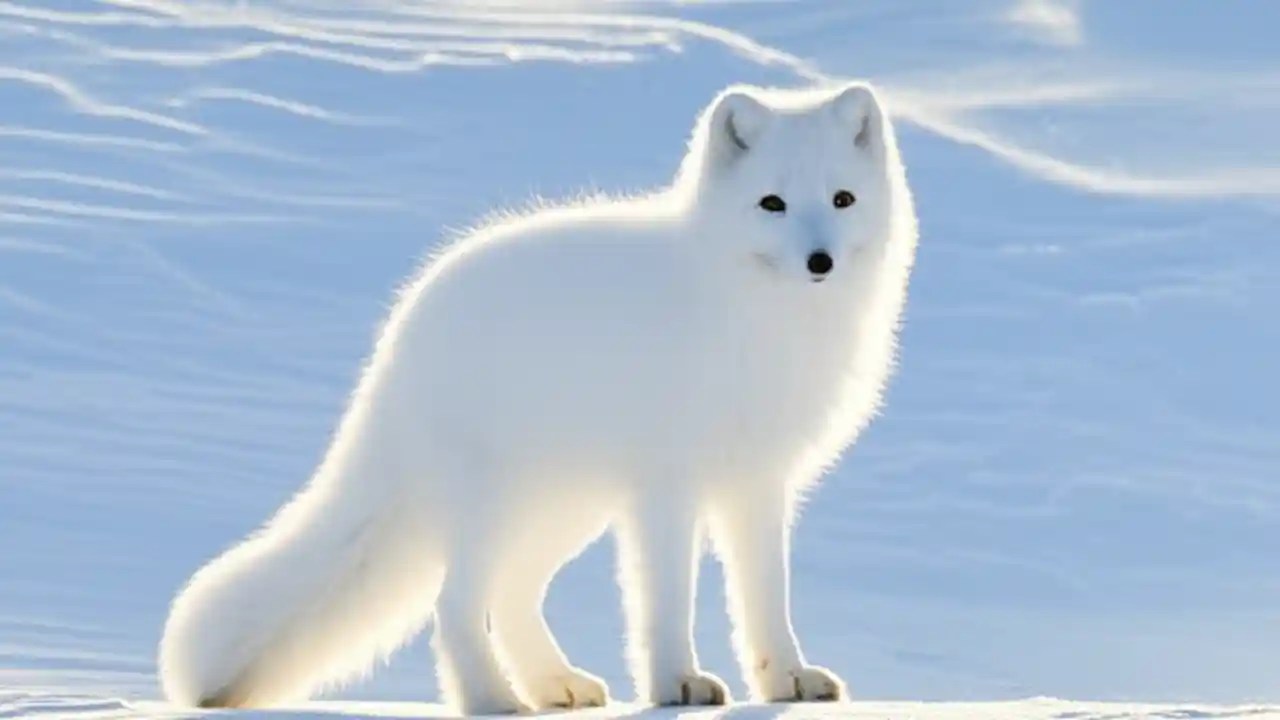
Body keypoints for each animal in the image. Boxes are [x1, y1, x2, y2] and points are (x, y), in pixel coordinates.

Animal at [158, 82, 918, 715]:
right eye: (772, 204)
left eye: (843, 199)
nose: (819, 261)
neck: (758, 319)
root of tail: (399, 336)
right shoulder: (666, 485)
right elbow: (666, 598)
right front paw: (675, 683)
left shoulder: (758, 480)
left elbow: (765, 596)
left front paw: (786, 679)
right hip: (497, 504)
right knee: (456, 607)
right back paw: (493, 699)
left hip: (564, 507)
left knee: (511, 594)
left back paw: (554, 685)